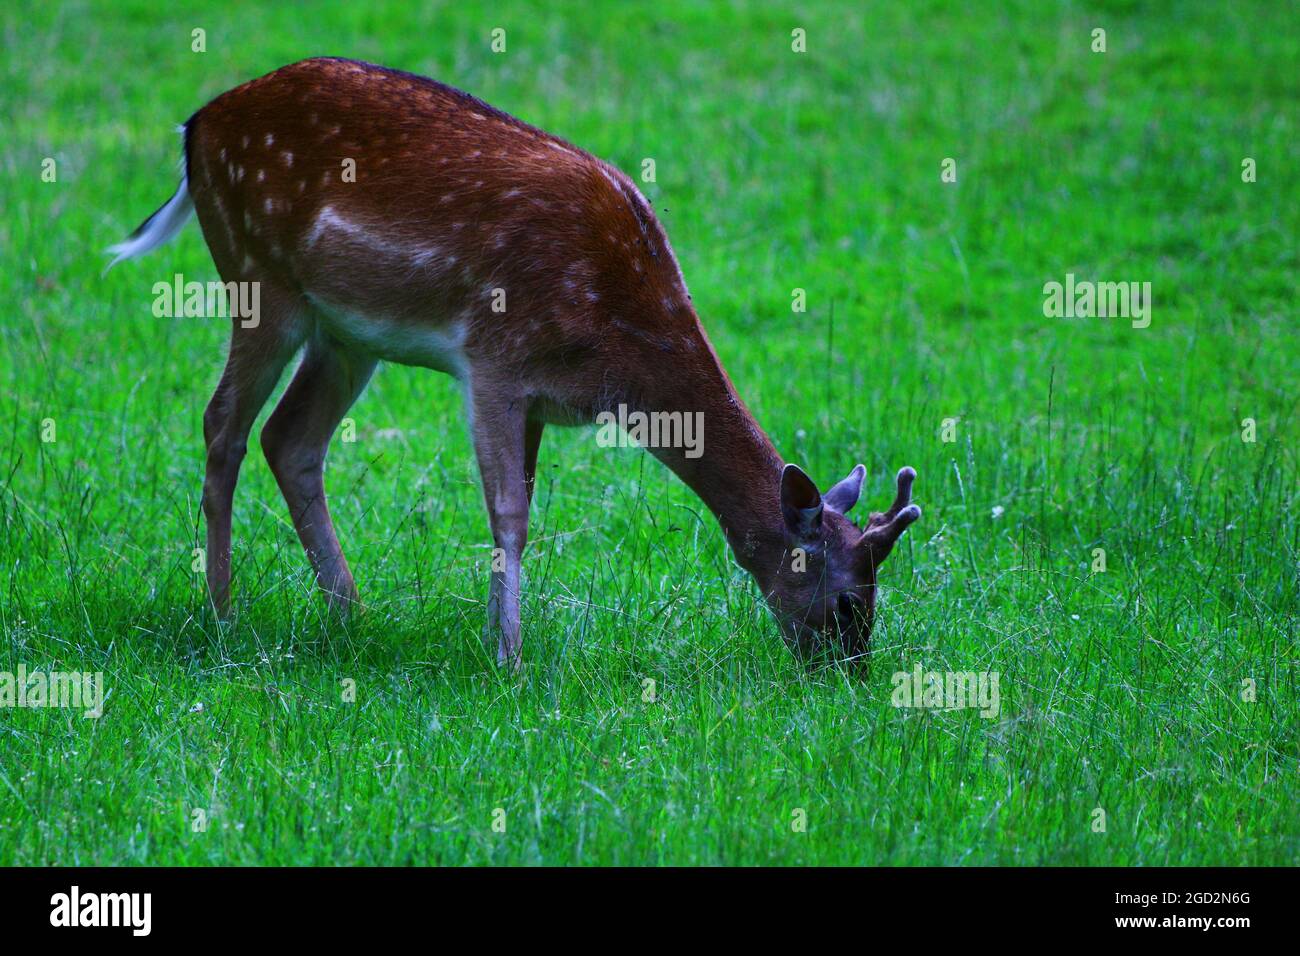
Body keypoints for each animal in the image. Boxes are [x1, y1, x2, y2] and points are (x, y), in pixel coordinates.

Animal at [107, 57, 921, 667]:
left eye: (877, 592)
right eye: (848, 597)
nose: (849, 672)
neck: (615, 350)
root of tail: (195, 126)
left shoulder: (539, 398)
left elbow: (522, 506)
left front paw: (499, 642)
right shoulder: (493, 358)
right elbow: (509, 513)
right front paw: (511, 659)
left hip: (345, 333)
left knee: (290, 437)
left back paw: (351, 613)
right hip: (258, 274)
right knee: (223, 425)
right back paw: (221, 613)